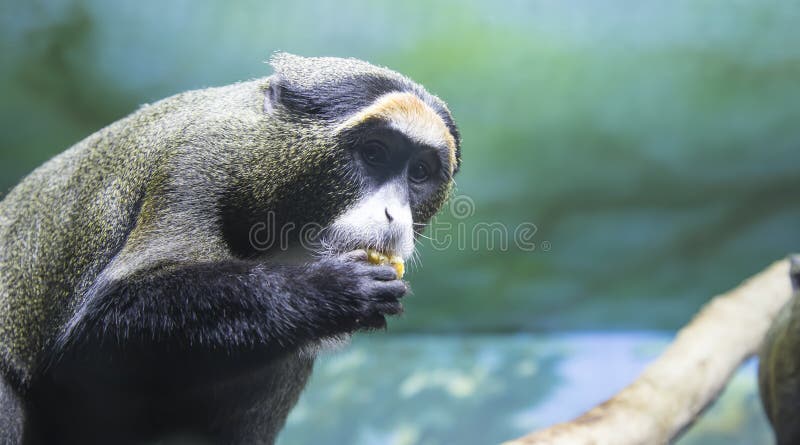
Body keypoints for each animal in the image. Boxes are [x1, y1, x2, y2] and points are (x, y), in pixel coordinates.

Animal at [0, 53, 461, 444]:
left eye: (419, 172)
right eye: (374, 153)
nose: (393, 215)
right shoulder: (196, 162)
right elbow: (98, 333)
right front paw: (332, 289)